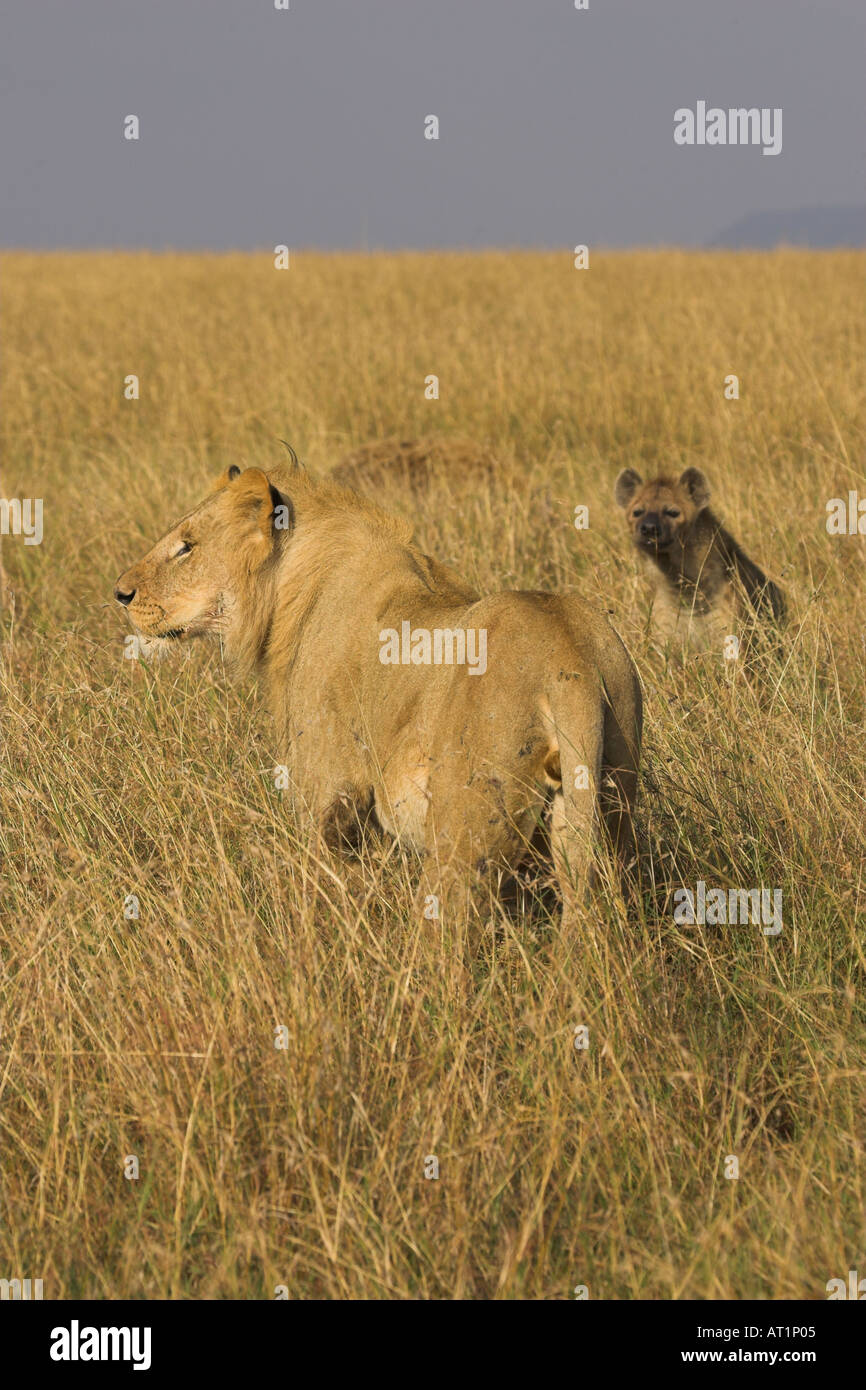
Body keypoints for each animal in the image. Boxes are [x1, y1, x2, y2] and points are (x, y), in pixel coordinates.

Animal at [114, 460, 642, 915]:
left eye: (186, 546)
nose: (120, 594)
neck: (291, 589)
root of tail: (568, 659)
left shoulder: (325, 788)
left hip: (464, 828)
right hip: (612, 803)